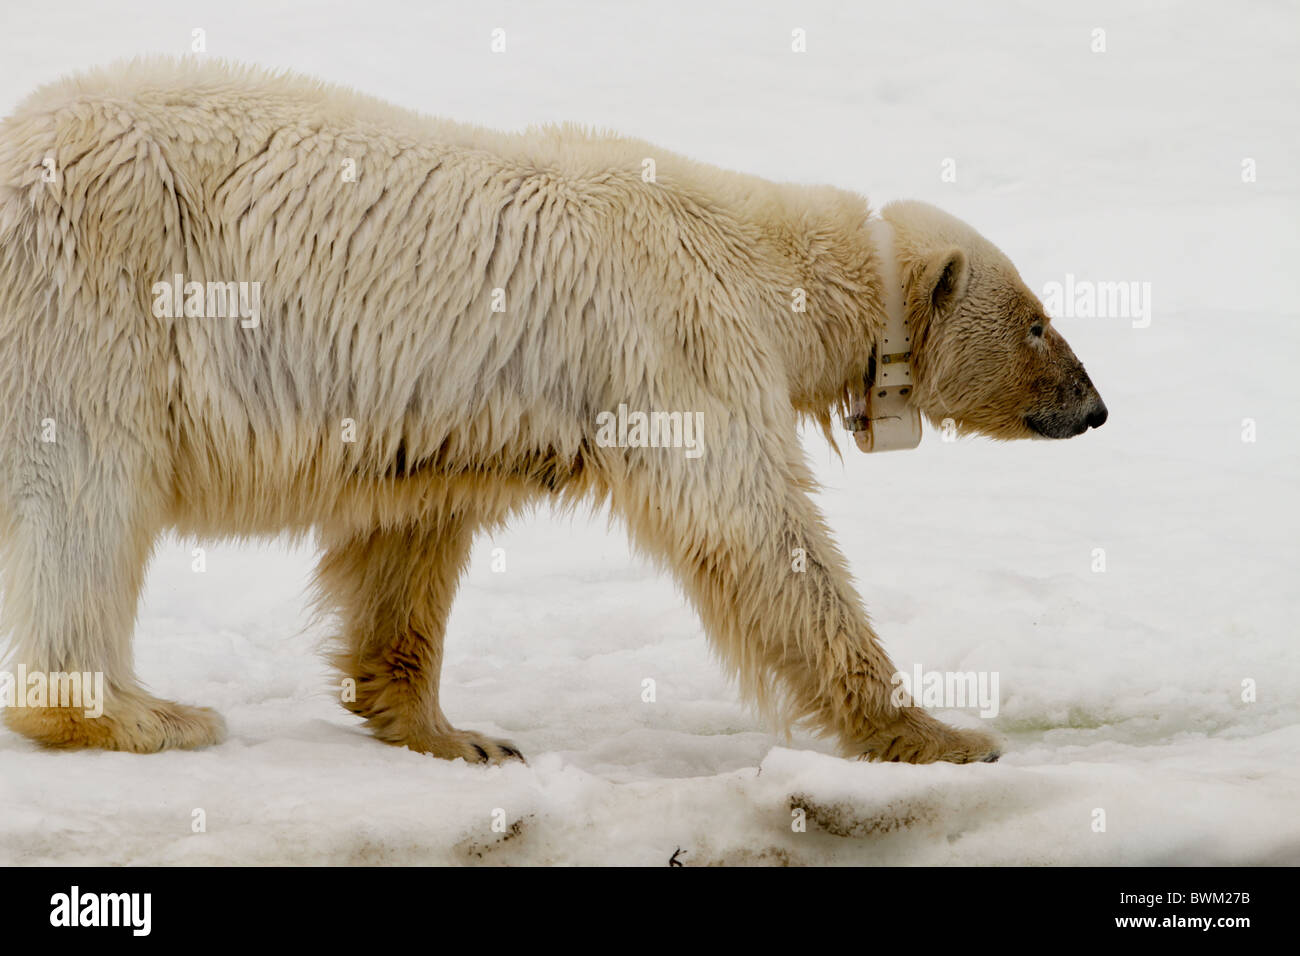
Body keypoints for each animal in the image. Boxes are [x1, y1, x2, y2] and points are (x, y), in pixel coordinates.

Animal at [0, 58, 1106, 764]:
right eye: (1041, 321)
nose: (1094, 408)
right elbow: (753, 531)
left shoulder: (441, 408)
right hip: (98, 292)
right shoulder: (679, 336)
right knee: (88, 494)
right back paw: (141, 715)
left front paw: (456, 733)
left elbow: (407, 540)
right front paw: (944, 735)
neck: (770, 261)